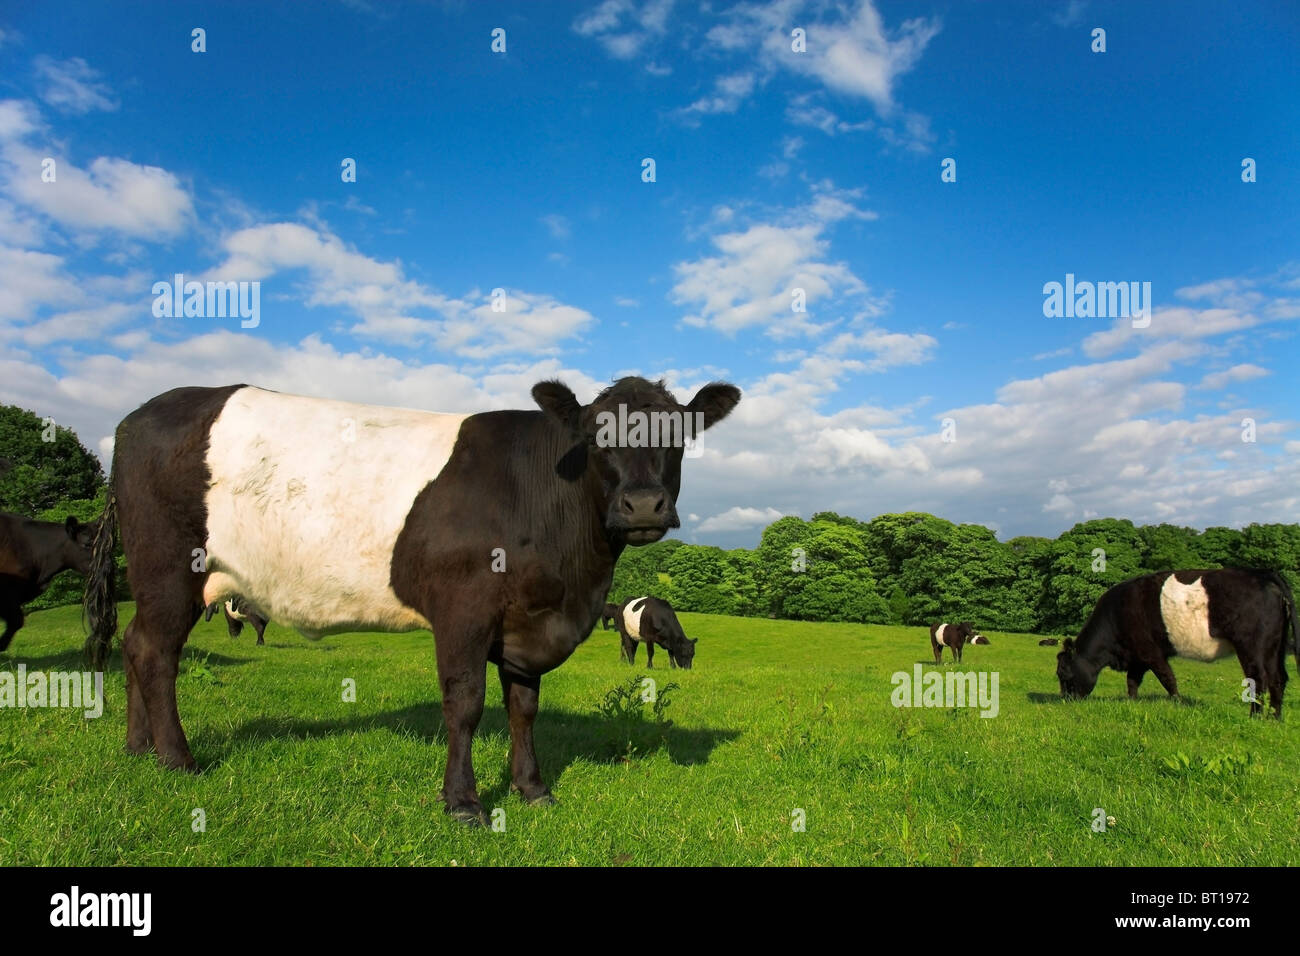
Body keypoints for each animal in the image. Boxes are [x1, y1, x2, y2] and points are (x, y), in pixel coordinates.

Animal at [82, 376, 740, 824]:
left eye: (680, 437)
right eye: (599, 436)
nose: (644, 505)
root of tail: (139, 415)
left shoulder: (526, 623)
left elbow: (524, 708)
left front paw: (532, 789)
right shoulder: (464, 609)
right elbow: (466, 705)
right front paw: (464, 803)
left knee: (135, 643)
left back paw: (138, 749)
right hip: (169, 569)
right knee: (156, 652)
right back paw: (177, 759)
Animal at [1056, 569, 1297, 717]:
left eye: (1064, 674)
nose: (1066, 701)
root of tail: (1261, 573)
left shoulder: (1151, 653)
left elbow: (1167, 679)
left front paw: (1178, 703)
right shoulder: (1137, 657)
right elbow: (1132, 682)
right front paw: (1132, 703)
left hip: (1251, 646)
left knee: (1259, 679)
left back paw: (1254, 717)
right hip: (1275, 647)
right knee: (1278, 678)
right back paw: (1274, 718)